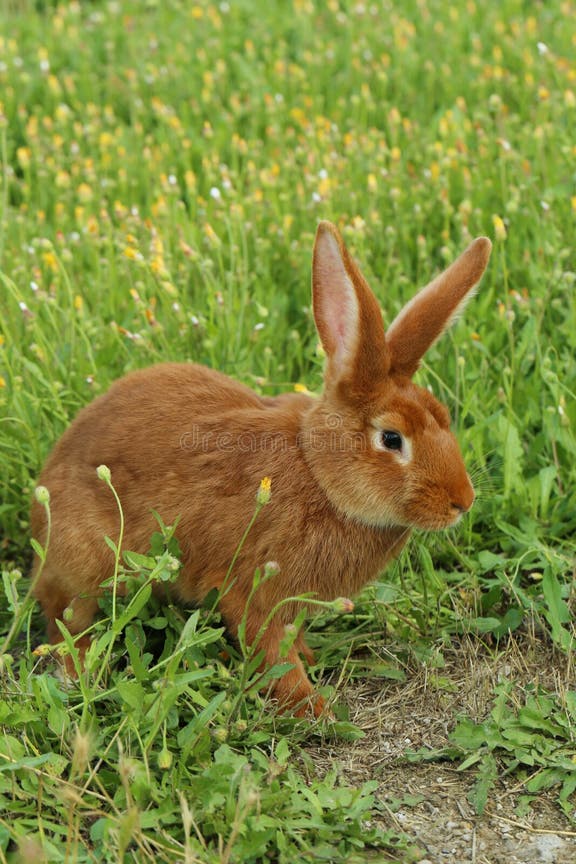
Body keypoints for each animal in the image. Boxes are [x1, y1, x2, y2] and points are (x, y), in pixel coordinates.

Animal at [31, 221, 491, 717]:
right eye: (391, 439)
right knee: (66, 618)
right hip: (88, 566)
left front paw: (310, 662)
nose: (463, 502)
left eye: (443, 416)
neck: (319, 475)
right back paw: (79, 673)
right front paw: (313, 707)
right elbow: (270, 650)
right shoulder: (253, 590)